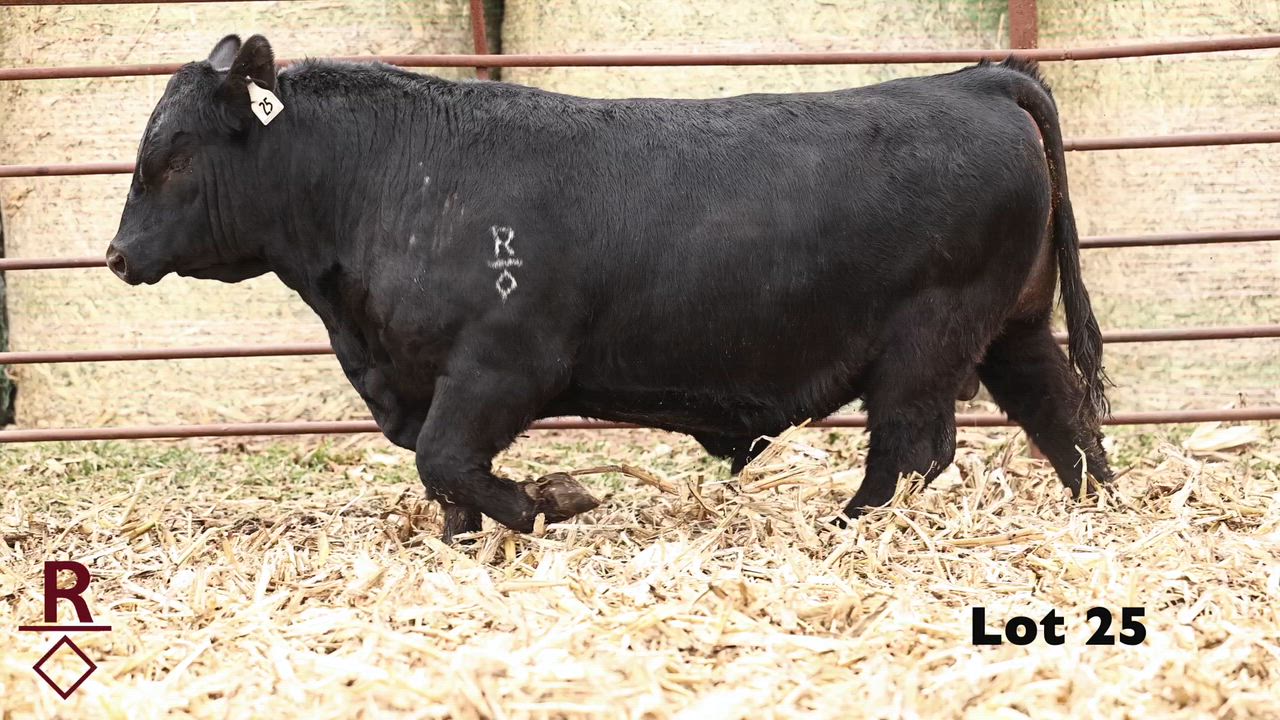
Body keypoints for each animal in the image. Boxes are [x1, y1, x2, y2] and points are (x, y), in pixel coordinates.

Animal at [107, 35, 1112, 542]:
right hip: (1011, 328)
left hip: (925, 346)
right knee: (1062, 414)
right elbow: (440, 475)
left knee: (911, 451)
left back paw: (846, 528)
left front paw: (550, 501)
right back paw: (1102, 508)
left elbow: (446, 459)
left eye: (171, 154)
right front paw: (464, 538)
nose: (115, 255)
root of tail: (978, 81)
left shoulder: (499, 367)